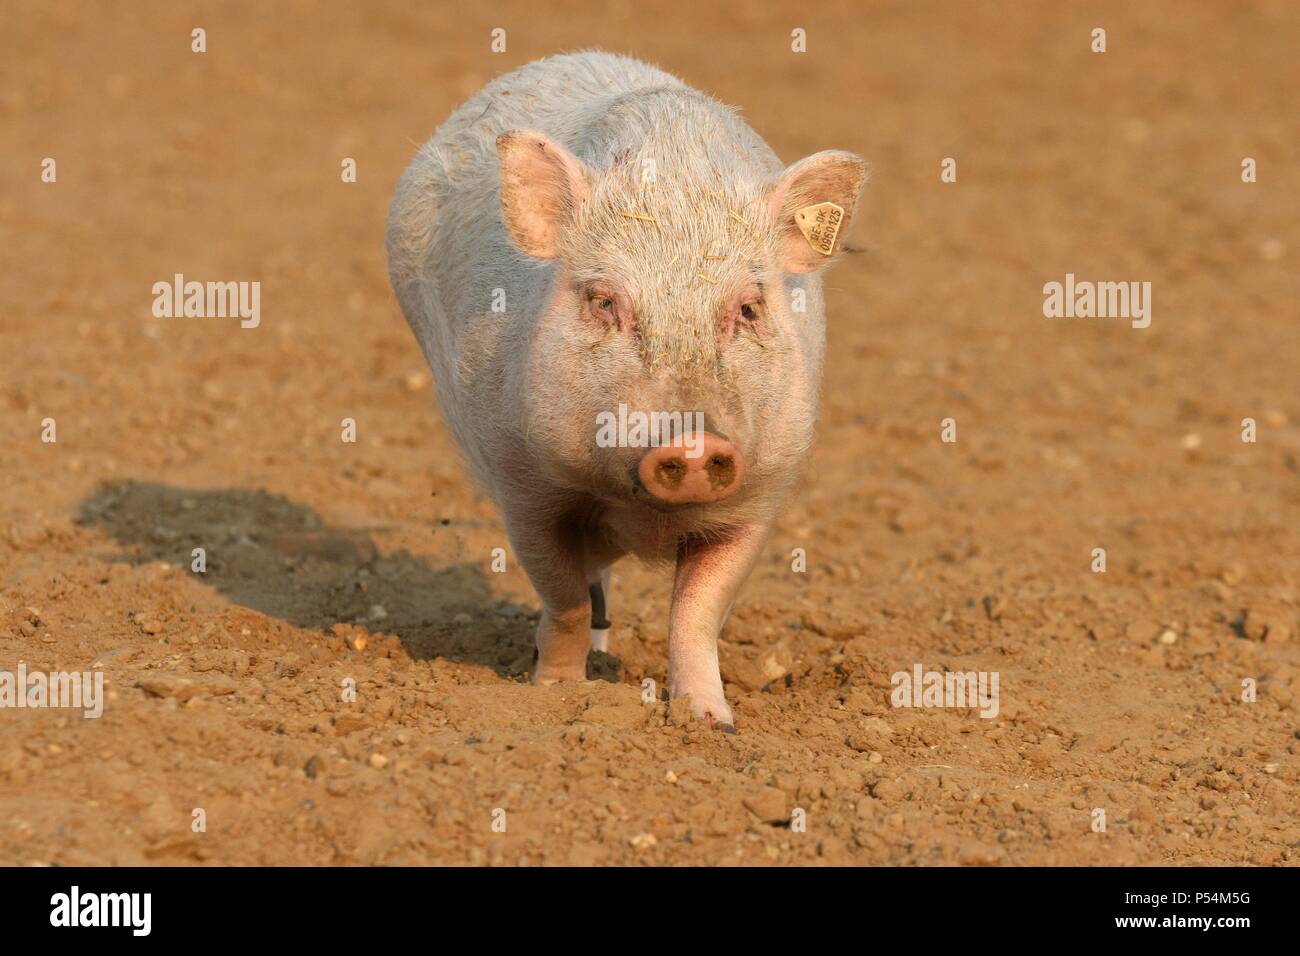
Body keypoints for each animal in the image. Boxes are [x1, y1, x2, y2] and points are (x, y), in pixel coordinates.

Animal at [386, 52, 866, 731]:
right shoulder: (523, 483)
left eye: (748, 308)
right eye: (603, 301)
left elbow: (696, 615)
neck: (643, 514)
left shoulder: (761, 496)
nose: (692, 441)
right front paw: (557, 693)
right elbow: (561, 595)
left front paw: (710, 722)